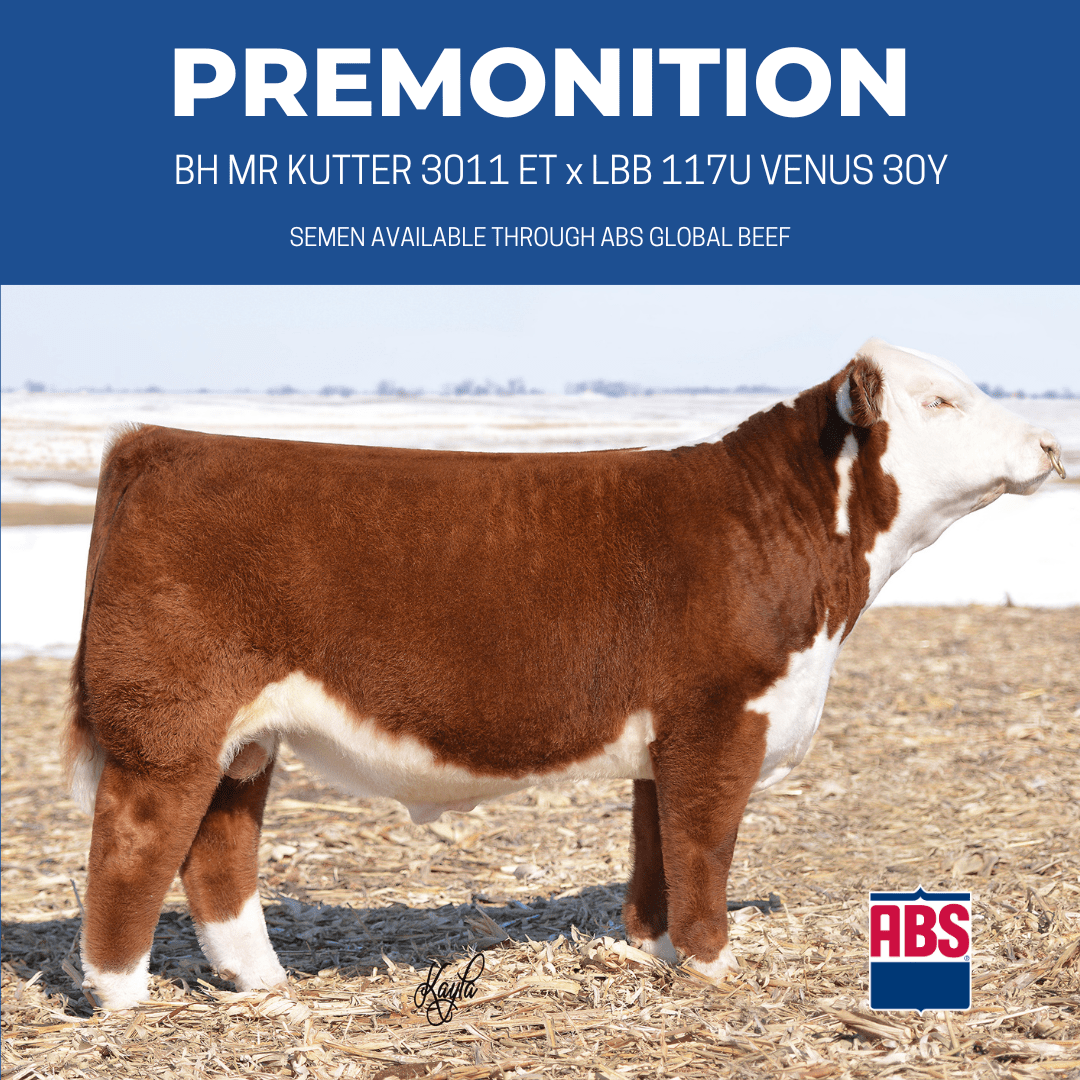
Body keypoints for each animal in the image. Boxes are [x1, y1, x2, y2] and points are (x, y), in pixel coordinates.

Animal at [64, 338, 1064, 1010]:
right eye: (941, 401)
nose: (1053, 444)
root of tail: (154, 443)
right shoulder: (720, 716)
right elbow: (705, 843)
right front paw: (714, 964)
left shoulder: (669, 736)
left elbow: (657, 846)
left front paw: (654, 950)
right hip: (170, 723)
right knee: (135, 840)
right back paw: (121, 996)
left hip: (244, 738)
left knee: (217, 849)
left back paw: (261, 982)